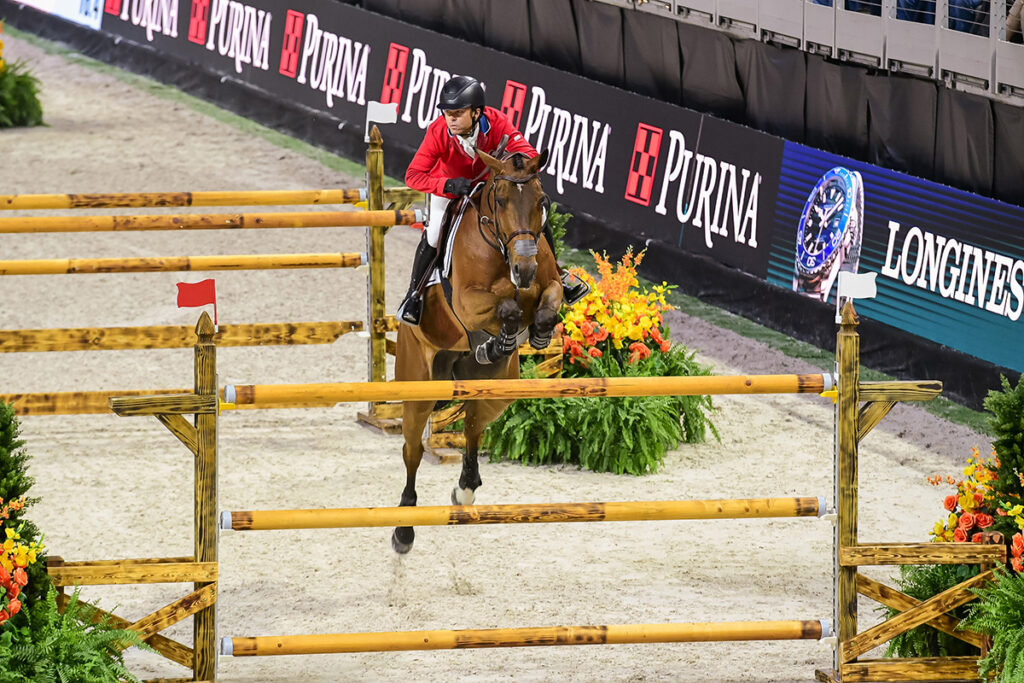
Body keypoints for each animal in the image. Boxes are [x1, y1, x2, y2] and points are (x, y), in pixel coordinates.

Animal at [391, 148, 562, 554]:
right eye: (500, 202)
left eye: (542, 201)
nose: (524, 269)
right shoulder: (467, 302)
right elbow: (508, 308)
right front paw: (504, 335)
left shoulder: (550, 283)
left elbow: (547, 303)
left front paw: (535, 335)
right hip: (418, 388)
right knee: (413, 451)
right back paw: (403, 529)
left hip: (495, 389)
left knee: (472, 425)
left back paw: (466, 488)